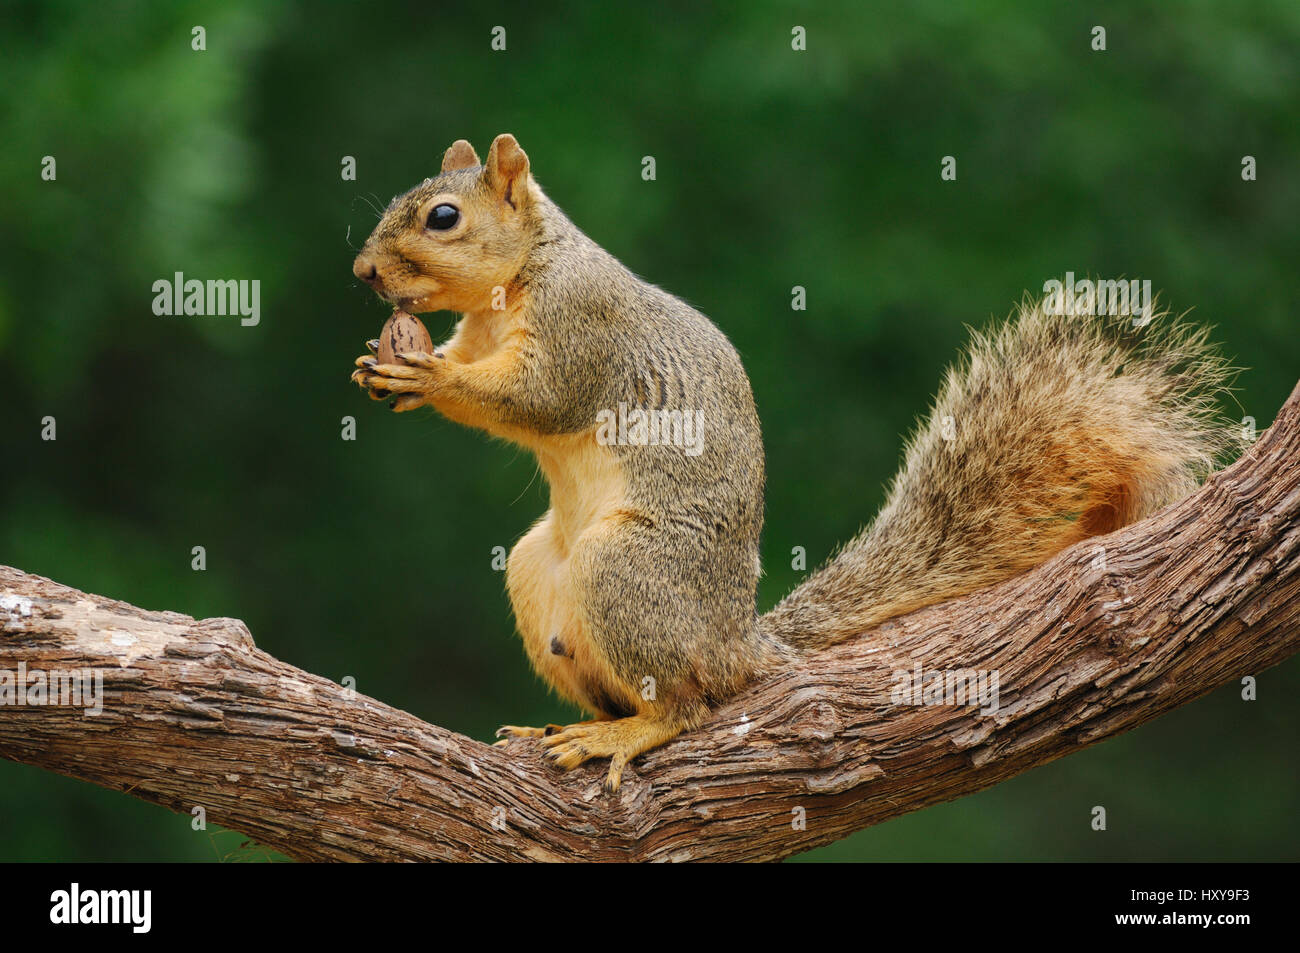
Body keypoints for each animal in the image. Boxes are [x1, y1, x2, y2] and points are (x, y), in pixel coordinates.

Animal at [351, 133, 1240, 792]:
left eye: (441, 216)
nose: (362, 271)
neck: (515, 283)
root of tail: (739, 642)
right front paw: (380, 367)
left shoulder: (581, 328)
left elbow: (539, 399)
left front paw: (429, 377)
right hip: (541, 569)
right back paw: (572, 725)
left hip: (627, 566)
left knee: (689, 706)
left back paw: (624, 735)